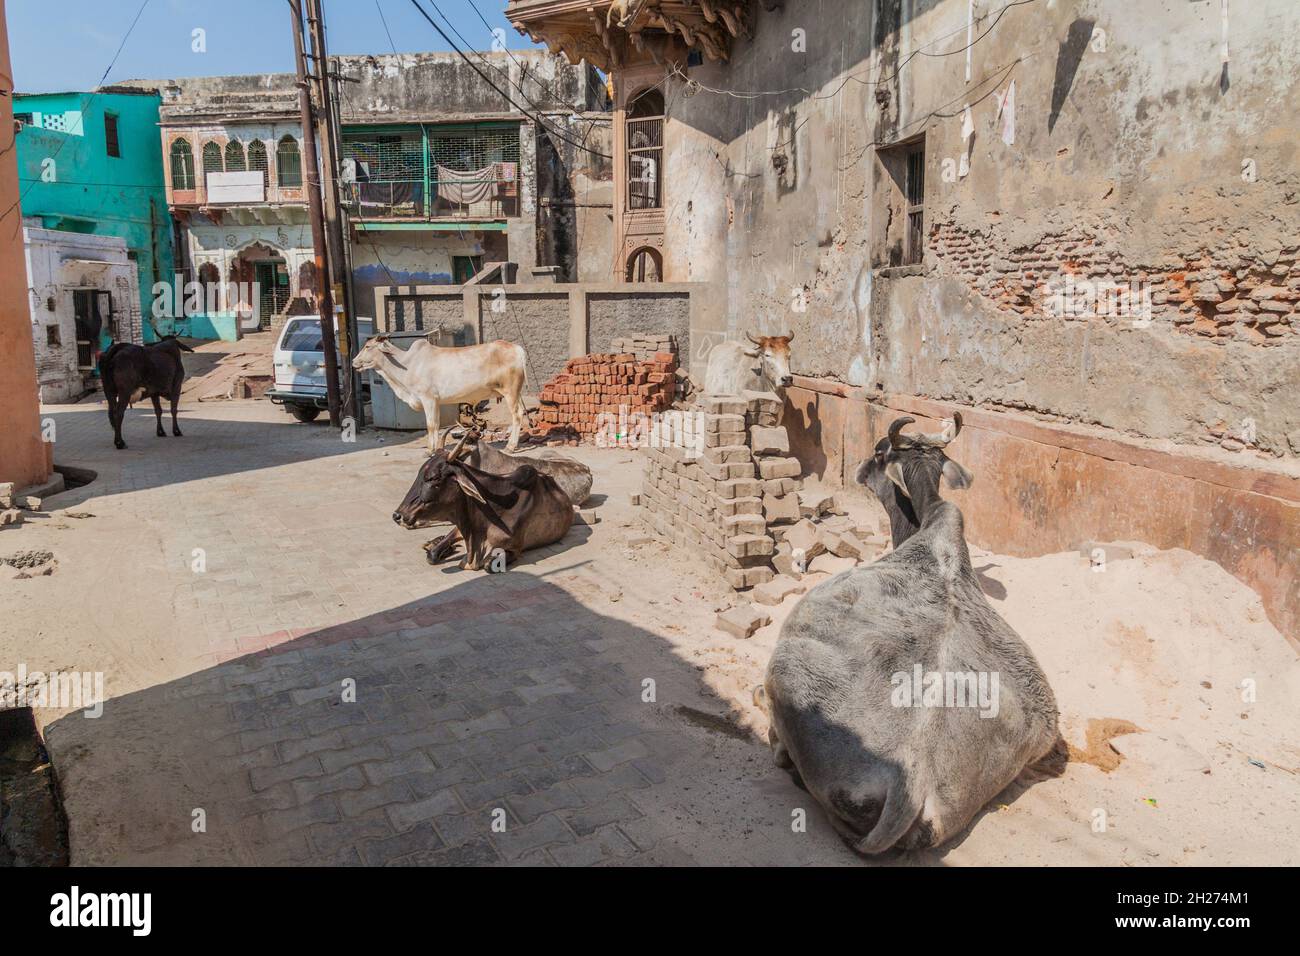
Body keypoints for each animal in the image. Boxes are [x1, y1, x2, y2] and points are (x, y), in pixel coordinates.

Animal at [352, 334, 529, 453]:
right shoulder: (435, 402)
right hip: (516, 393)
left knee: (517, 415)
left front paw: (430, 450)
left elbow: (431, 425)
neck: (408, 364)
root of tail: (516, 349)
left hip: (510, 392)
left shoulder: (428, 398)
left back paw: (510, 446)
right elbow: (435, 425)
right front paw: (434, 447)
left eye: (367, 347)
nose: (353, 362)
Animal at [392, 432, 575, 571]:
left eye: (434, 478)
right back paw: (435, 542)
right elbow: (431, 556)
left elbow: (488, 565)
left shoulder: (514, 549)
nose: (397, 515)